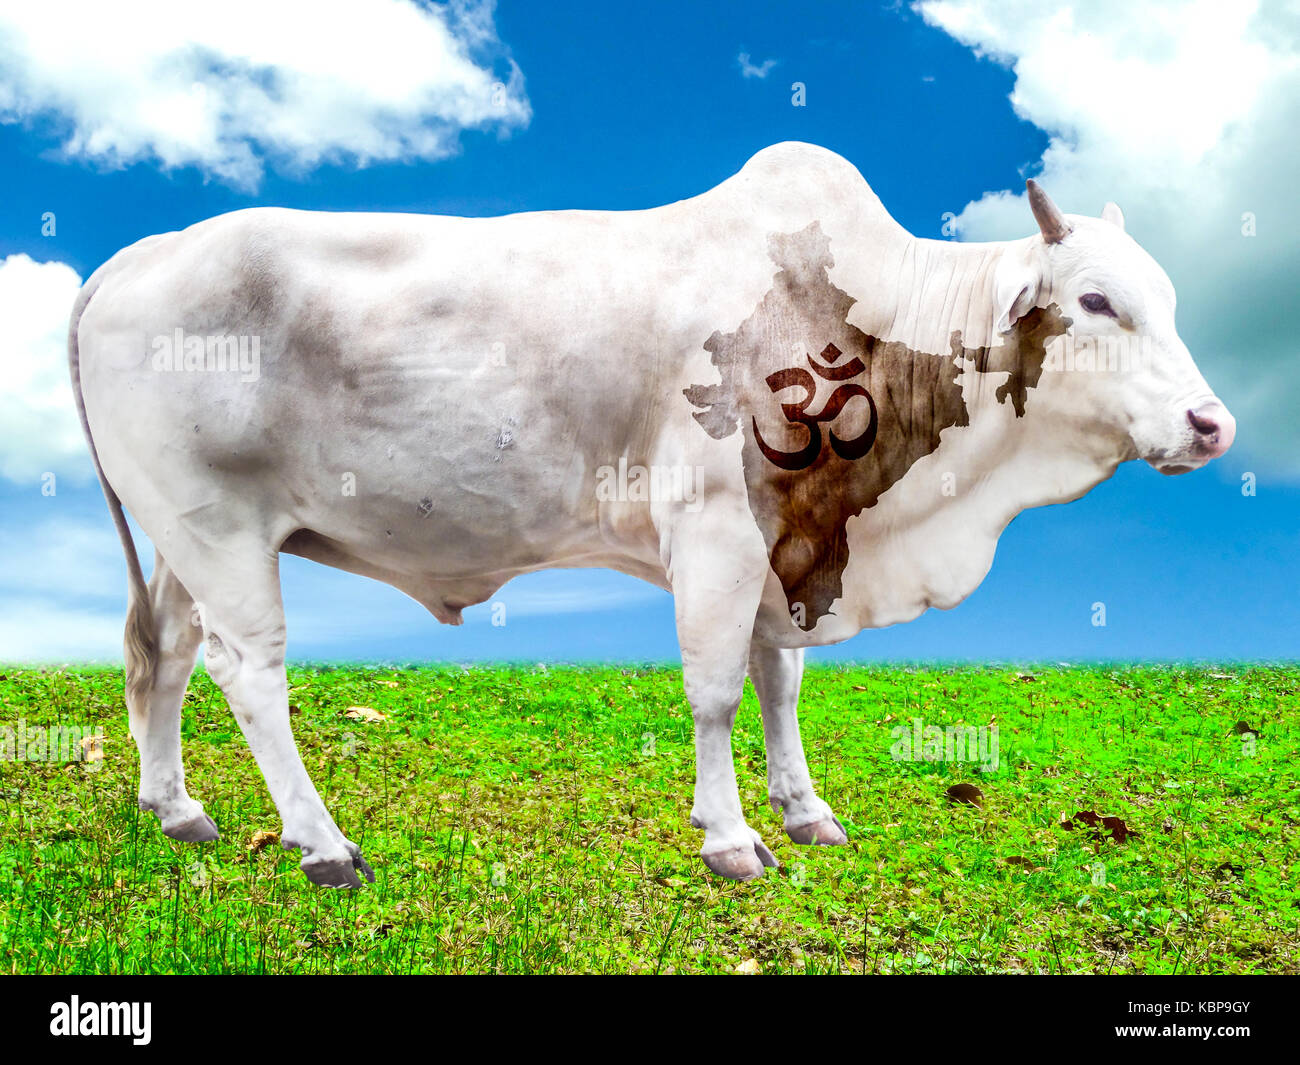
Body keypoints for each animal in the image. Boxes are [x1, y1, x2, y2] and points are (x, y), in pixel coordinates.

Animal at [69, 142, 1234, 886]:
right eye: (1095, 301)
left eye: (1174, 301)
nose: (1211, 423)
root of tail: (137, 254)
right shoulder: (716, 529)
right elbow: (717, 691)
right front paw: (729, 837)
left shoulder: (786, 542)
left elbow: (780, 682)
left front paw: (805, 810)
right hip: (219, 530)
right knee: (249, 673)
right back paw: (322, 844)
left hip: (185, 538)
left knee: (162, 651)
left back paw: (175, 809)